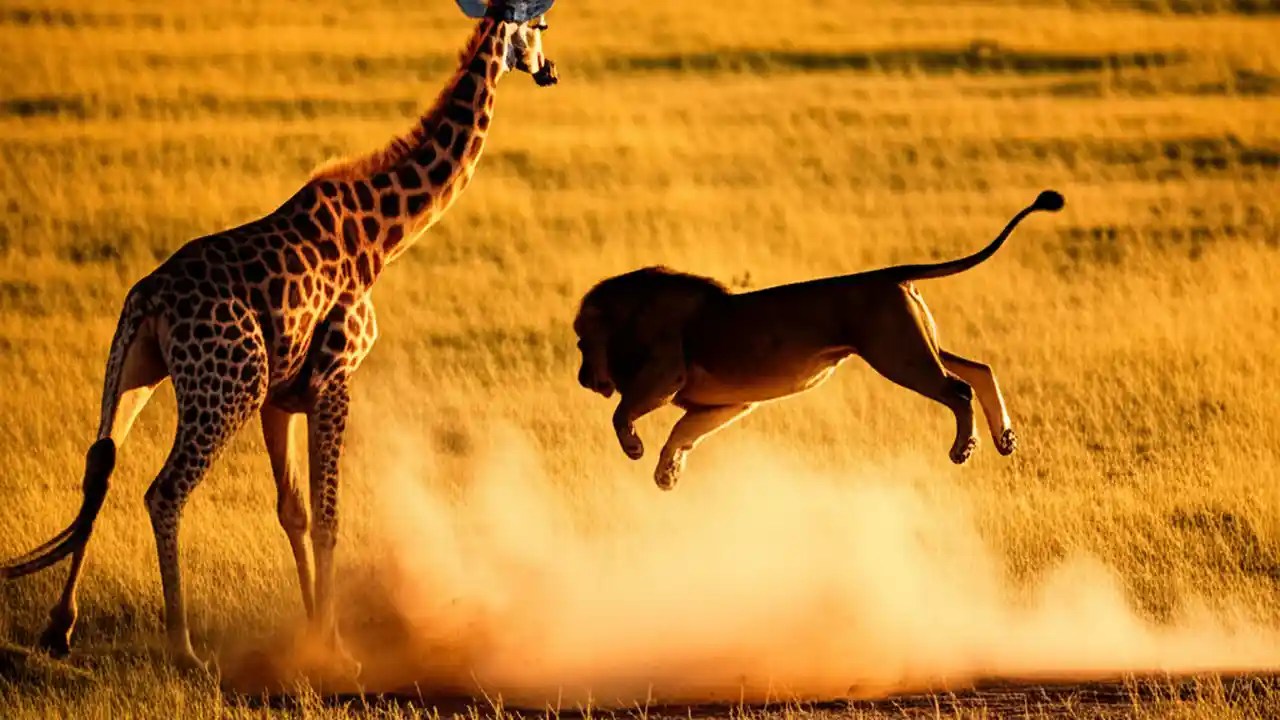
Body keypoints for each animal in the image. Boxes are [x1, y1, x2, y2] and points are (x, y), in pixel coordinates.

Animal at [0, 0, 558, 671]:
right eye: (541, 26)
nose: (549, 70)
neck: (382, 236)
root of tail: (151, 298)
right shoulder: (333, 378)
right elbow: (328, 516)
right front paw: (338, 648)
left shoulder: (281, 397)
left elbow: (292, 509)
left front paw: (315, 635)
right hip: (224, 390)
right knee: (163, 492)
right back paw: (183, 647)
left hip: (135, 371)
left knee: (99, 468)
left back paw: (59, 628)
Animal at [573, 190, 1064, 490]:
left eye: (580, 344)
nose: (581, 380)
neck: (629, 312)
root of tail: (892, 273)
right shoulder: (728, 402)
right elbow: (682, 433)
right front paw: (667, 474)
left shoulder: (664, 376)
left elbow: (621, 413)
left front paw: (636, 450)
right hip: (916, 347)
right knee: (979, 369)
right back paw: (1005, 439)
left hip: (897, 355)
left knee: (959, 389)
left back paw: (965, 448)